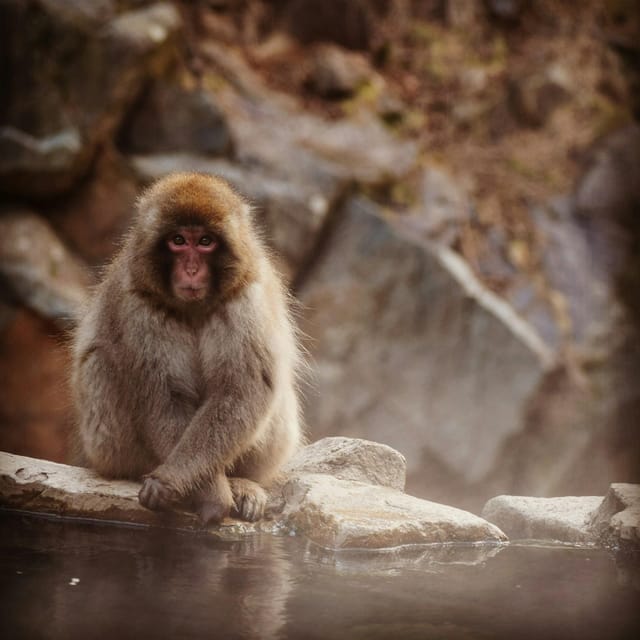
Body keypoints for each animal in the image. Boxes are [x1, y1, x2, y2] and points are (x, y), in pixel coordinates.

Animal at [71, 173, 303, 525]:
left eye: (205, 241)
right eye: (178, 240)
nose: (192, 270)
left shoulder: (247, 299)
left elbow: (240, 391)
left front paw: (175, 482)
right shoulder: (137, 307)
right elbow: (163, 396)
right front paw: (210, 495)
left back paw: (242, 482)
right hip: (106, 447)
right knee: (100, 362)